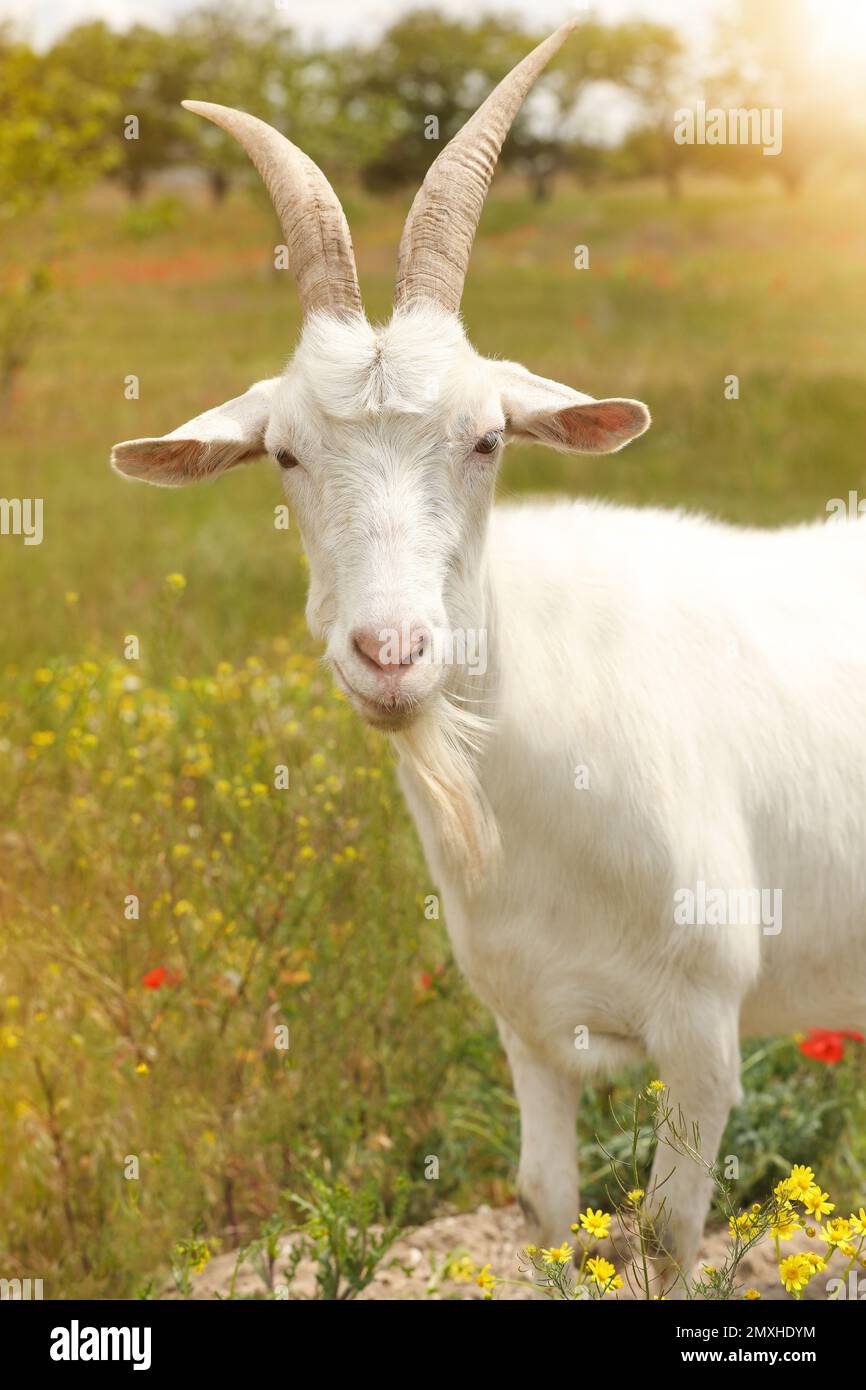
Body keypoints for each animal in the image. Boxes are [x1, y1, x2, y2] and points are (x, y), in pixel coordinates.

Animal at [111, 19, 866, 1290]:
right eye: (285, 455)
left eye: (485, 439)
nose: (390, 649)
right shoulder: (525, 1021)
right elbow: (542, 1208)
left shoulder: (703, 1025)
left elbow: (664, 1233)